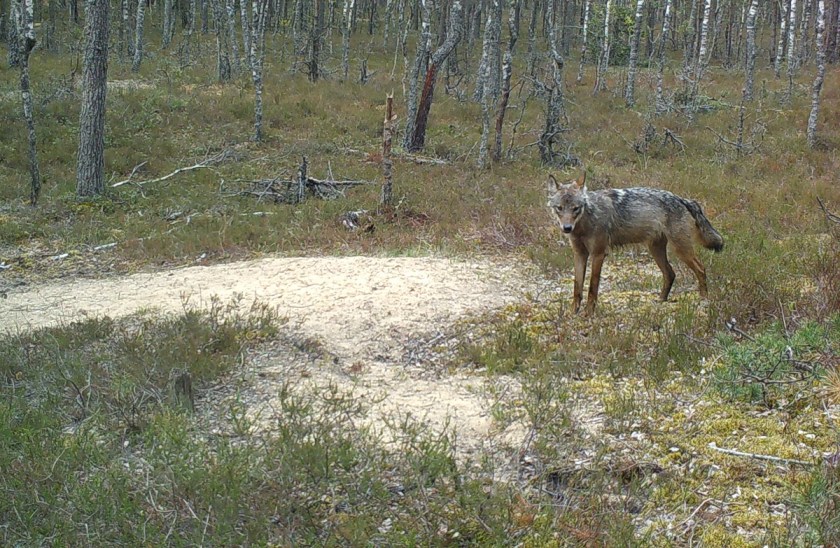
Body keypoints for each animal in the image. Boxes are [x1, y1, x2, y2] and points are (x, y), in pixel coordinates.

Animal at [547, 173, 724, 315]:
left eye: (575, 208)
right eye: (559, 208)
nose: (567, 228)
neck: (587, 221)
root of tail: (683, 199)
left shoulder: (598, 254)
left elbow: (592, 287)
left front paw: (588, 313)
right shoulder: (579, 254)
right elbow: (577, 288)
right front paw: (572, 312)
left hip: (680, 250)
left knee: (700, 269)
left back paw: (703, 300)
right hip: (656, 250)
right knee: (670, 273)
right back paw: (660, 301)